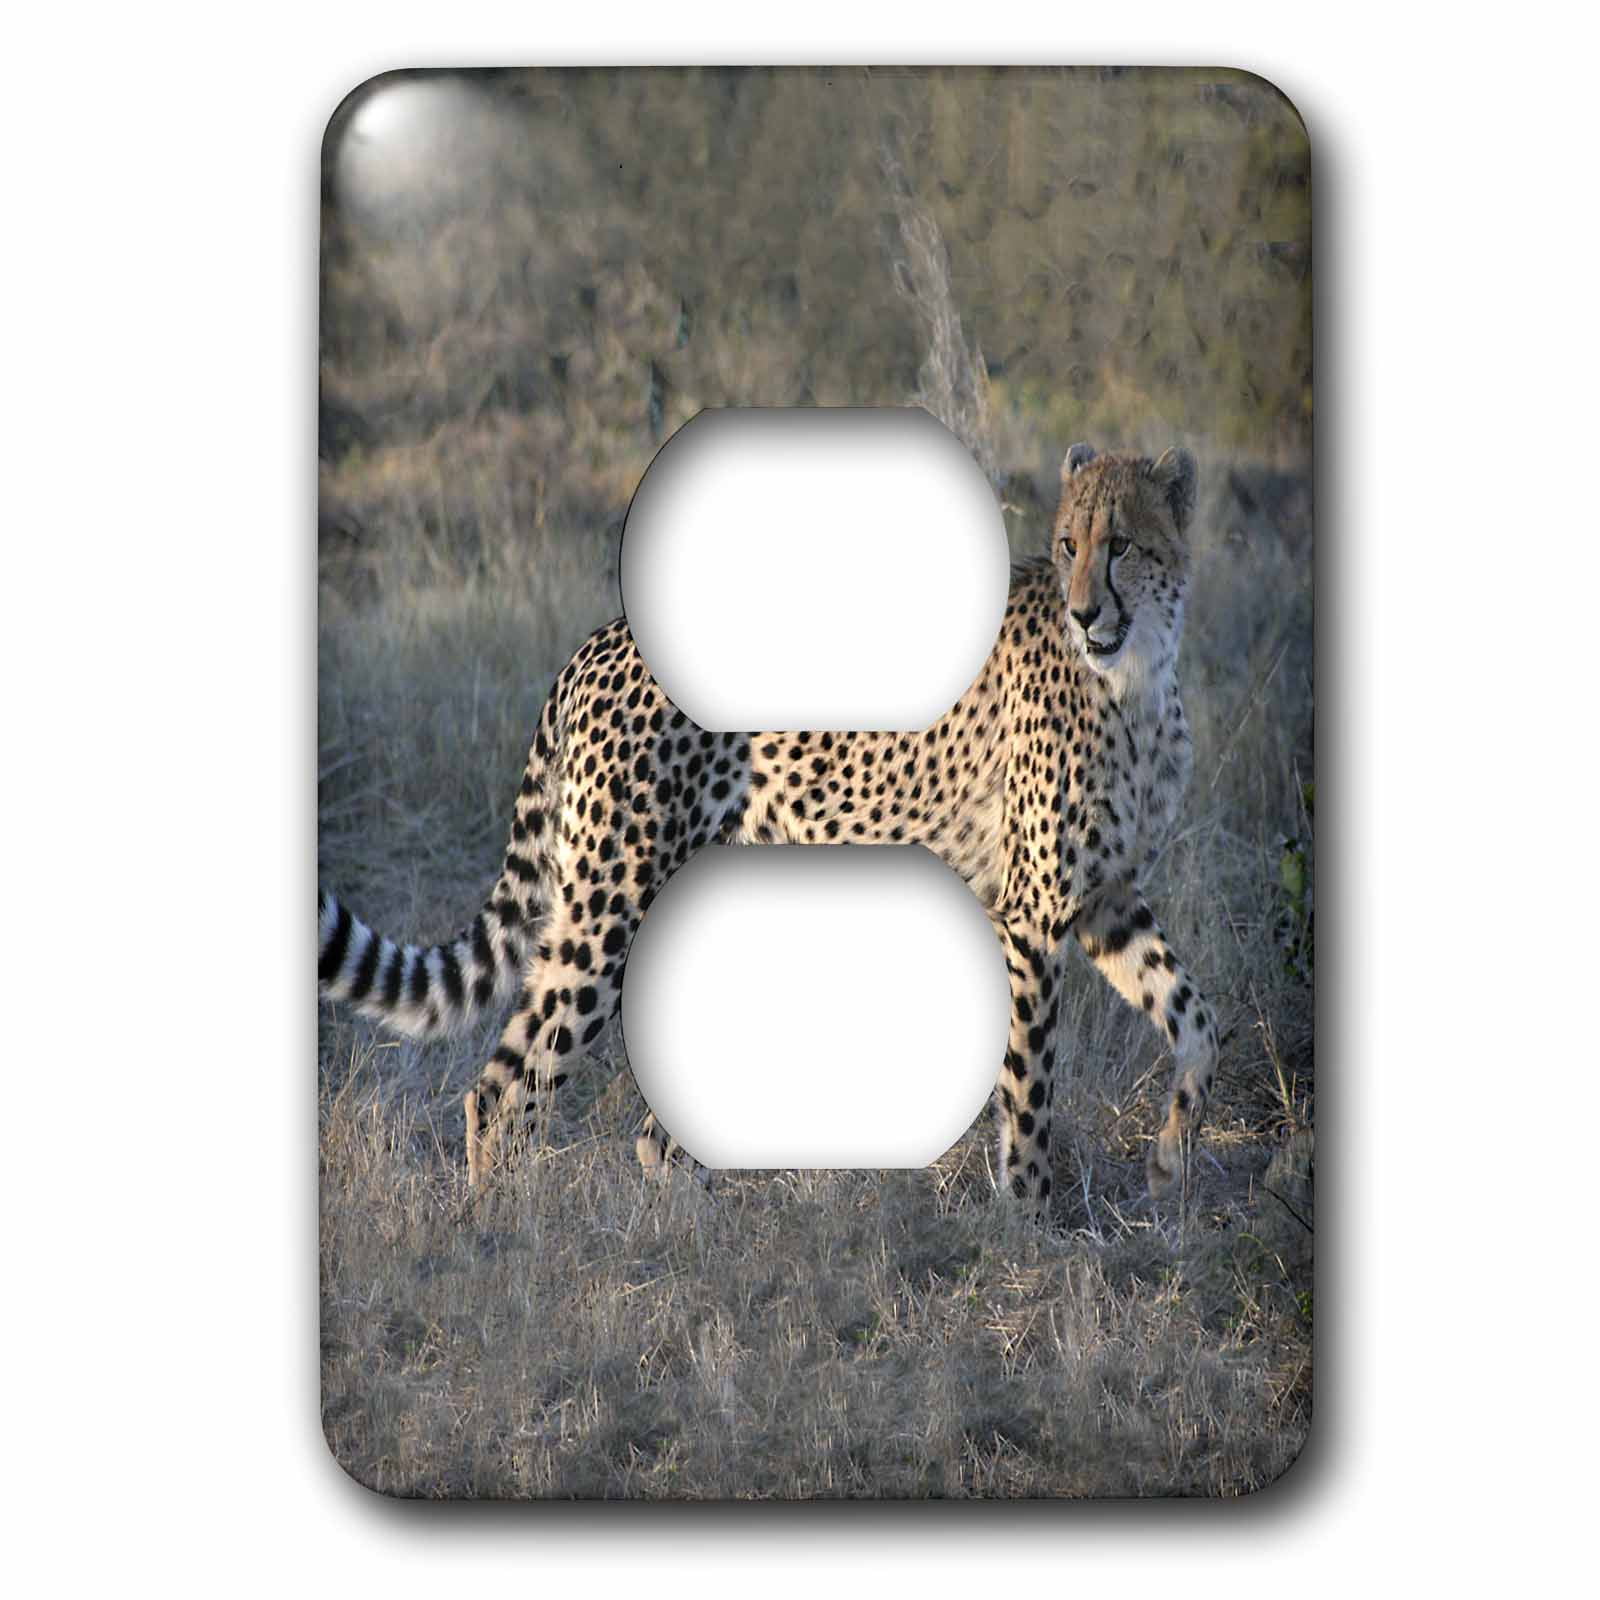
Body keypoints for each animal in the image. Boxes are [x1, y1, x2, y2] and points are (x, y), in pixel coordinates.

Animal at [318, 443, 1219, 1220]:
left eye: (1122, 545)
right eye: (1069, 544)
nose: (1085, 611)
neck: (1135, 674)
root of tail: (597, 641)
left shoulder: (1107, 901)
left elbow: (1198, 1018)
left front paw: (1169, 1160)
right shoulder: (1033, 915)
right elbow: (1031, 1084)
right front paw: (1029, 1220)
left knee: (636, 1125)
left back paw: (686, 1236)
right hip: (610, 906)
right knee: (509, 1085)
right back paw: (511, 1234)